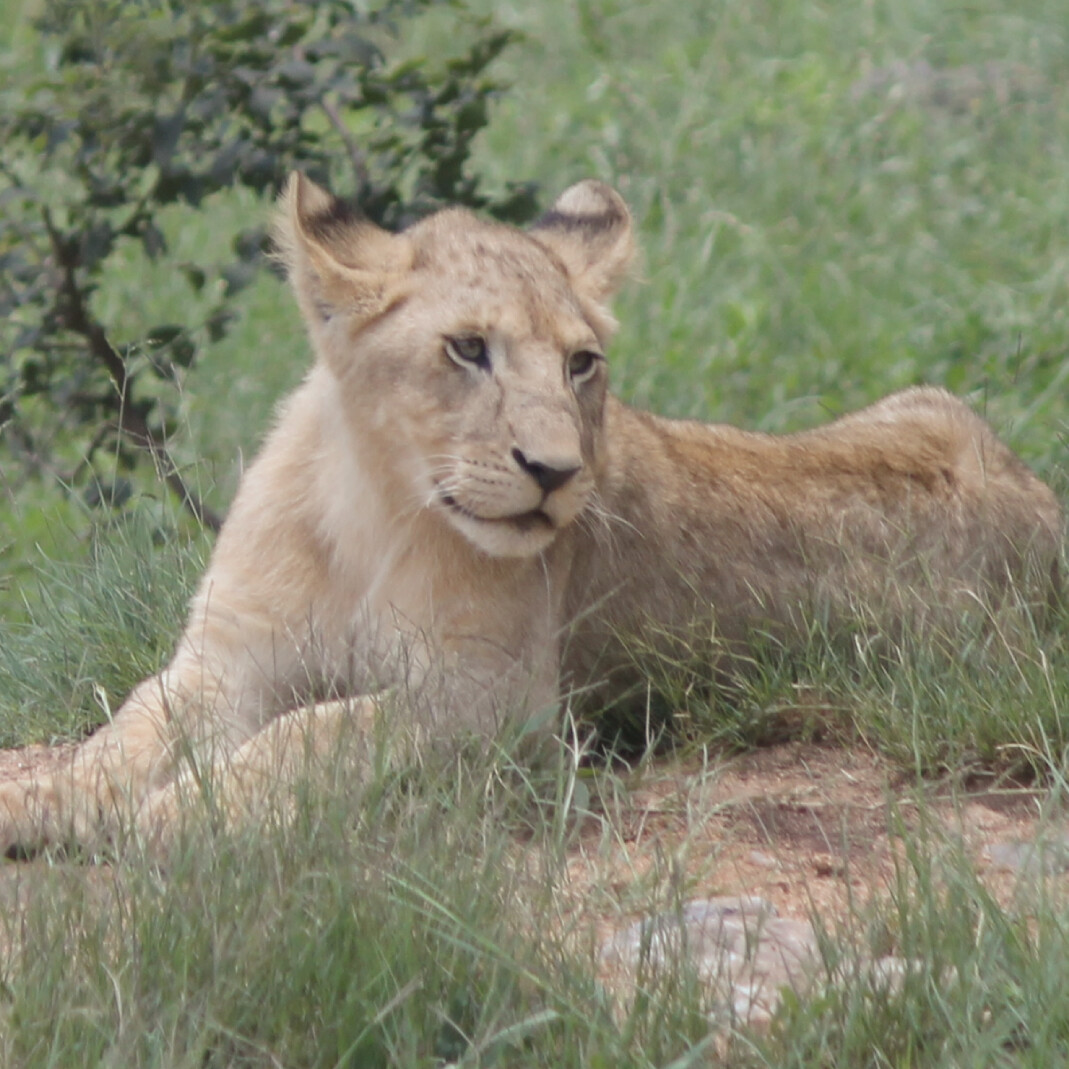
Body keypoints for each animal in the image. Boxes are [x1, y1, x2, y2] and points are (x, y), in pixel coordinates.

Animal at [0, 175, 1061, 852]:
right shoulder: (227, 658)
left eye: (580, 363)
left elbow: (327, 728)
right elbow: (131, 730)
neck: (377, 506)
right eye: (467, 348)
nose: (554, 471)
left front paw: (185, 814)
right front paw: (51, 801)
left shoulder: (498, 700)